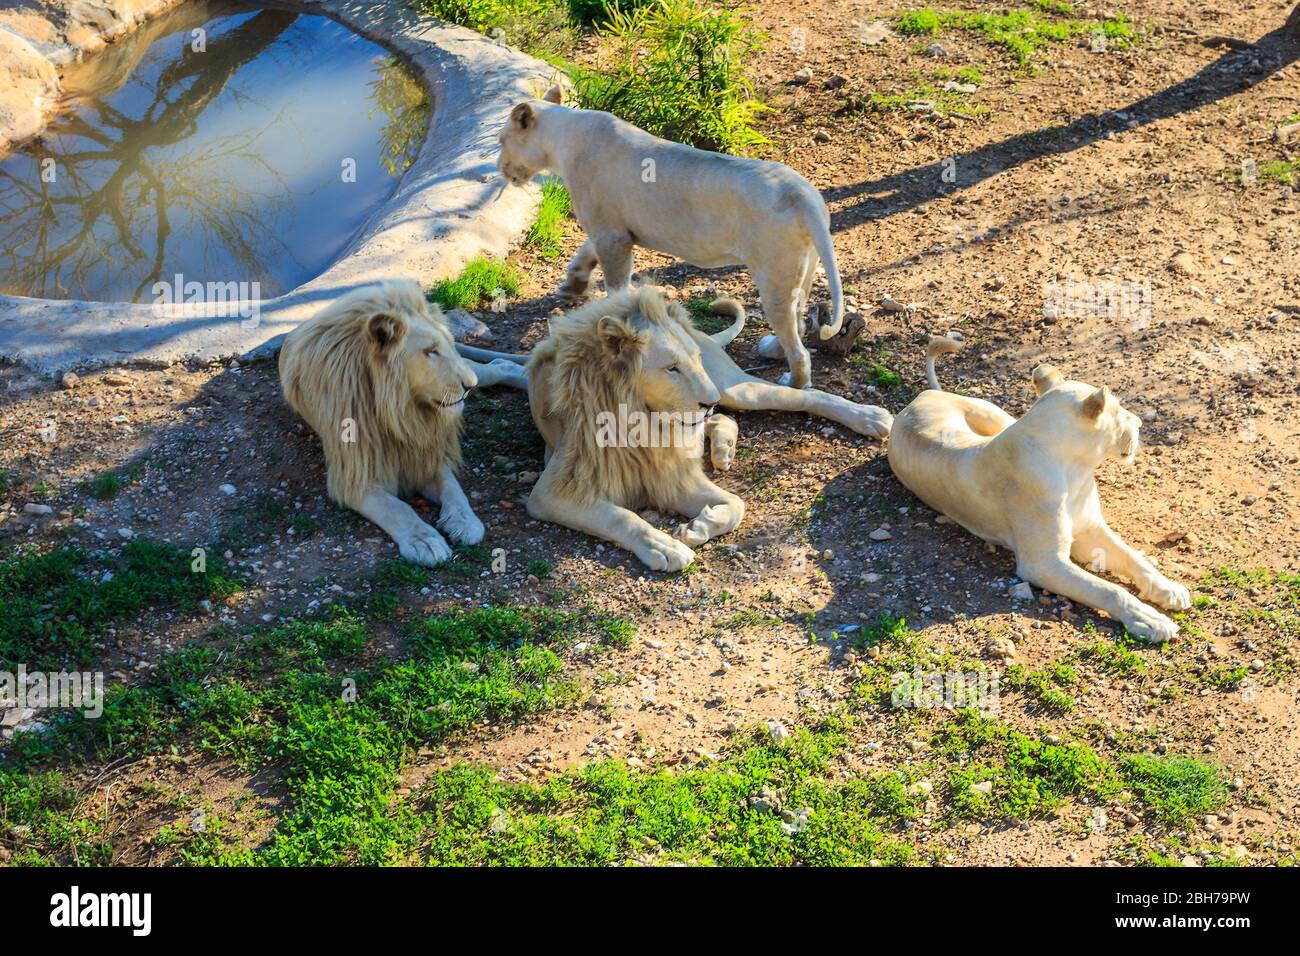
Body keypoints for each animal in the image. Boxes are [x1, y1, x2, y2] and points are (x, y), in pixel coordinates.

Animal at [278, 279, 520, 566]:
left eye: (447, 346)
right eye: (430, 351)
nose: (469, 386)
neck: (400, 410)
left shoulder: (426, 453)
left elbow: (453, 488)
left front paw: (465, 521)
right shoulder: (355, 474)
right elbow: (397, 508)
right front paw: (424, 541)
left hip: (478, 369)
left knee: (500, 365)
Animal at [497, 85, 848, 390]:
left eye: (501, 141)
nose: (499, 168)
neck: (562, 137)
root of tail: (804, 196)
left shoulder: (612, 236)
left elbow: (615, 284)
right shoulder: (608, 227)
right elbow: (586, 250)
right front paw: (573, 285)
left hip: (774, 274)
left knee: (798, 347)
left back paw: (795, 382)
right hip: (801, 264)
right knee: (798, 318)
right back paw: (773, 348)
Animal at [887, 336, 1191, 643]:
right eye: (1118, 414)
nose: (1139, 422)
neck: (1077, 471)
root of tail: (922, 396)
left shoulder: (1090, 529)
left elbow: (1134, 558)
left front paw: (1169, 589)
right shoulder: (1043, 563)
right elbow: (1108, 589)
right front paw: (1149, 620)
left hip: (998, 416)